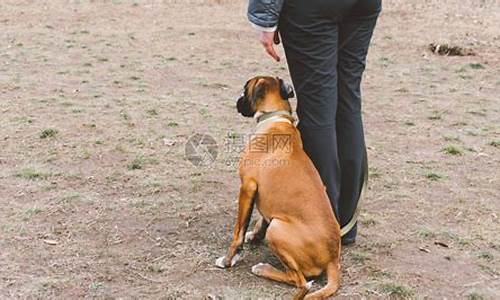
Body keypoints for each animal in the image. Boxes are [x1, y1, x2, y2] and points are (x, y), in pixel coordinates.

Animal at [214, 76, 340, 298]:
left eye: (245, 89)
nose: (237, 101)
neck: (275, 117)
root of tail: (333, 258)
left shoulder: (247, 187)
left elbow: (238, 232)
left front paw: (228, 260)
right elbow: (260, 219)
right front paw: (254, 236)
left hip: (277, 229)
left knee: (300, 281)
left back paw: (263, 269)